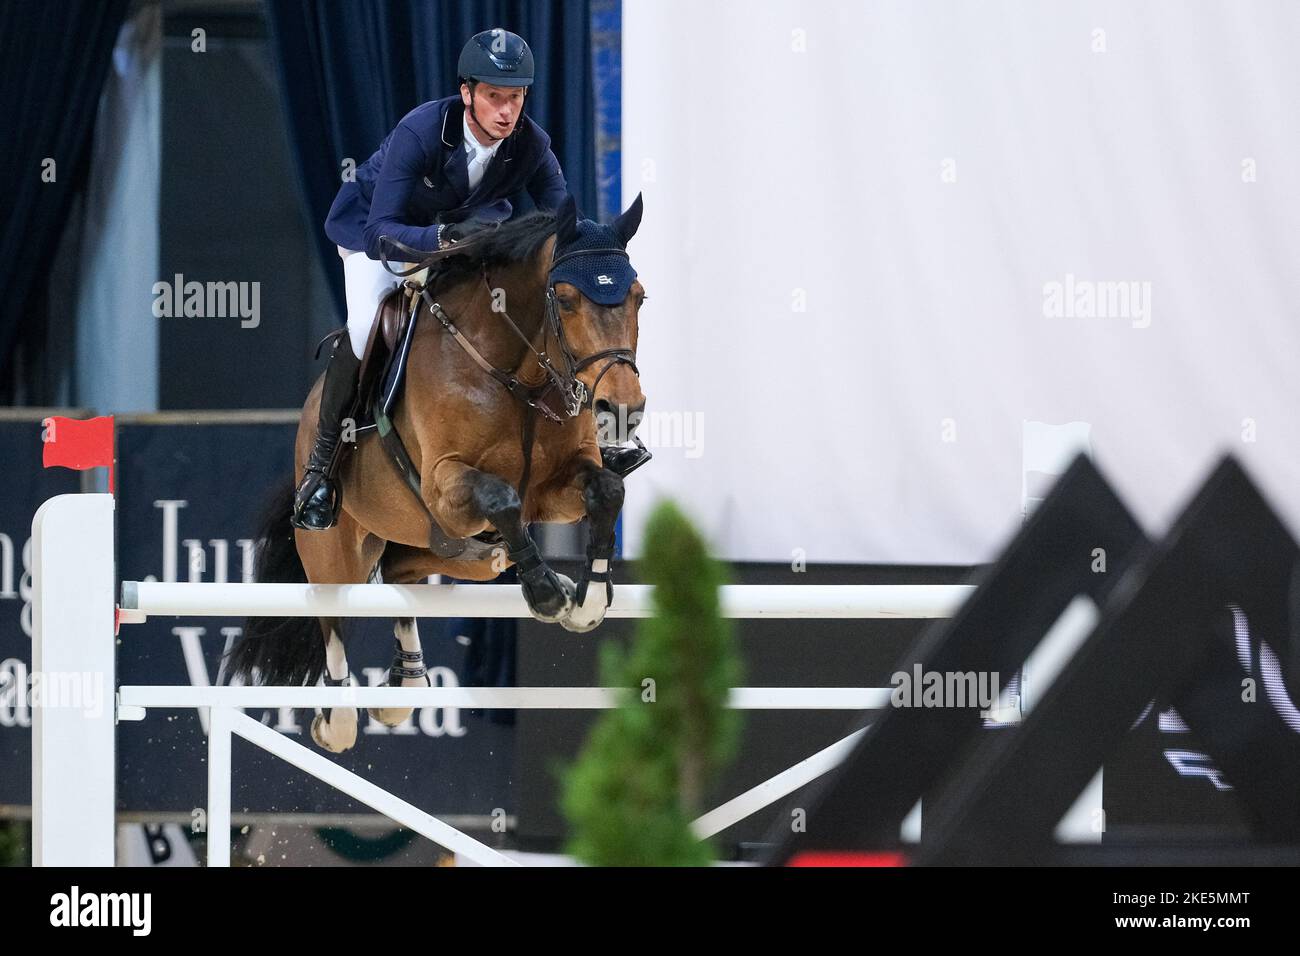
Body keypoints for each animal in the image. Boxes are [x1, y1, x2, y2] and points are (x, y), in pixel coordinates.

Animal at [228, 194, 648, 752]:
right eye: (564, 298)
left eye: (639, 298)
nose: (621, 410)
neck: (518, 374)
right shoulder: (446, 484)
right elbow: (502, 498)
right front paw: (546, 594)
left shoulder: (554, 489)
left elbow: (607, 487)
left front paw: (588, 597)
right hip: (337, 540)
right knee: (331, 605)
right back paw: (338, 717)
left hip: (438, 541)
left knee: (403, 572)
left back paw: (406, 682)